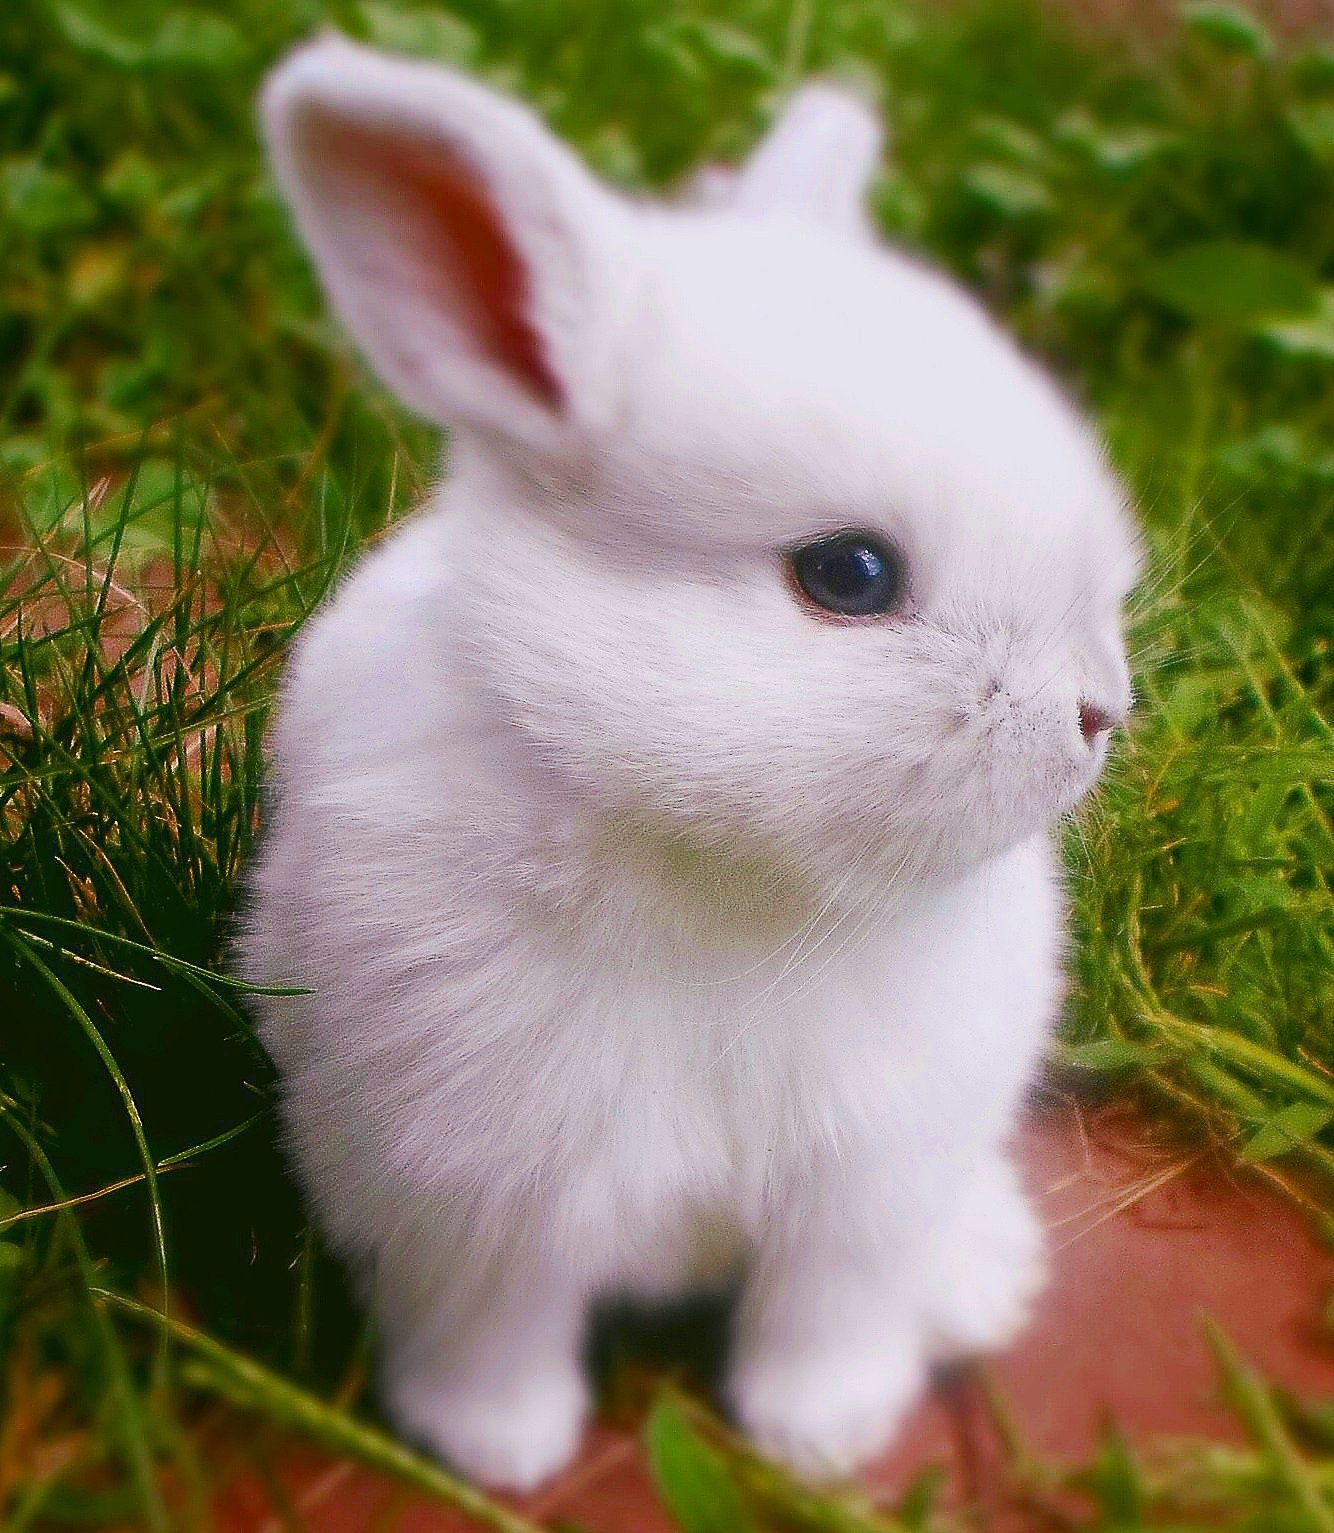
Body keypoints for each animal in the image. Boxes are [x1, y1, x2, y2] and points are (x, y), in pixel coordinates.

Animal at [240, 36, 1140, 1490]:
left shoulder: (864, 1186)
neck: (727, 888)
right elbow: (493, 1330)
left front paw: (822, 1437)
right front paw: (496, 1451)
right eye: (848, 574)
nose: (1095, 711)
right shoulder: (471, 1198)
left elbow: (825, 1316)